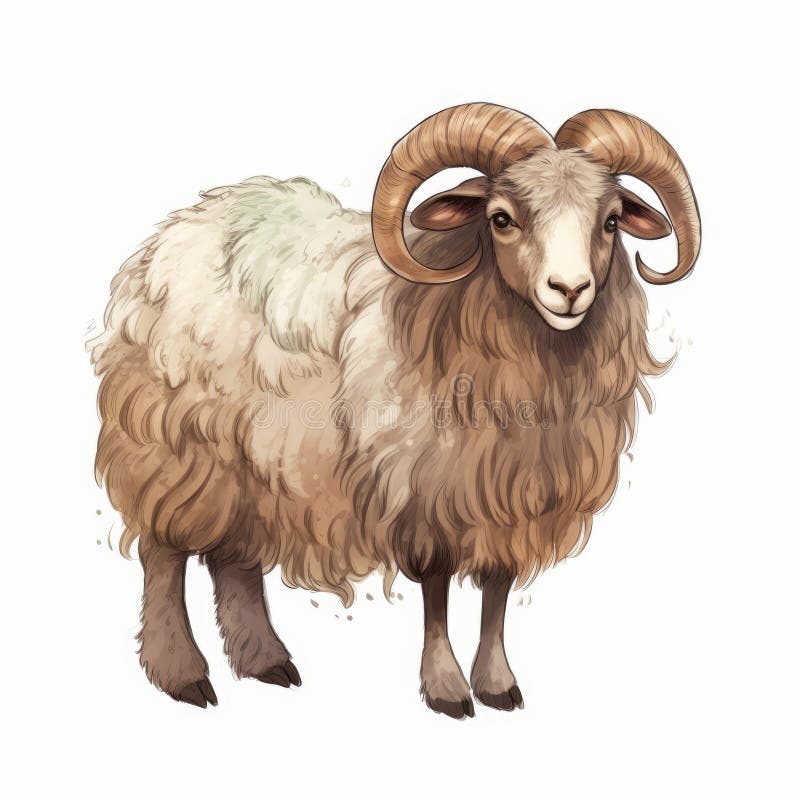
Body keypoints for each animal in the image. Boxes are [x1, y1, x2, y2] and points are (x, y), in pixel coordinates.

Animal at [90, 103, 701, 718]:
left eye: (611, 221)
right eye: (502, 219)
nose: (570, 289)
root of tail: (181, 227)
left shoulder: (506, 494)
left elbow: (497, 591)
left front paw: (497, 684)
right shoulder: (422, 489)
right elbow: (435, 592)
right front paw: (446, 687)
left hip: (255, 464)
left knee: (233, 560)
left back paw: (266, 662)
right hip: (176, 449)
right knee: (163, 557)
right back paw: (181, 674)